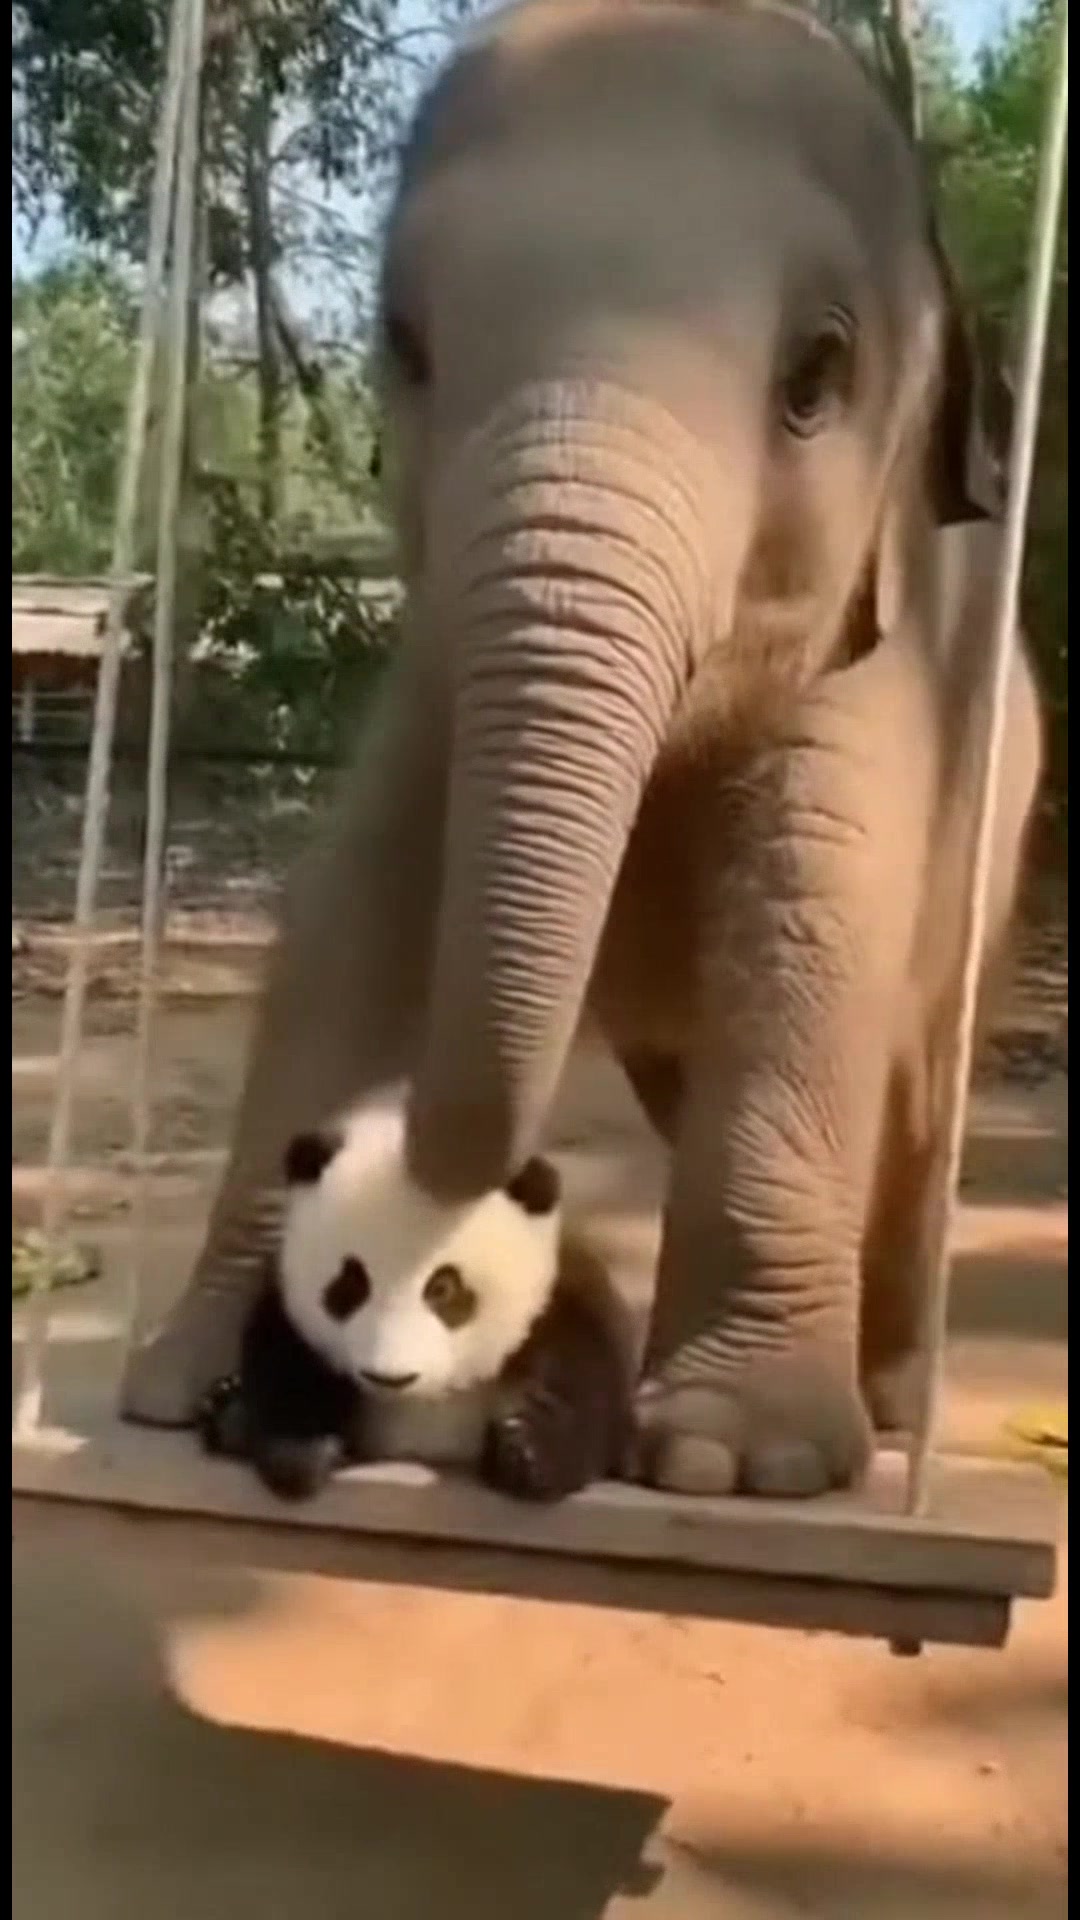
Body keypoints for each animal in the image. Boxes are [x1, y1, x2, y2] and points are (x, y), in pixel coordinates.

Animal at [197, 1091, 633, 1504]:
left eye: (442, 1288)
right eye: (351, 1284)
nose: (390, 1378)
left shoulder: (555, 1298)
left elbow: (589, 1374)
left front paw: (528, 1451)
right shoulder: (288, 1301)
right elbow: (282, 1352)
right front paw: (304, 1451)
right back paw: (228, 1412)